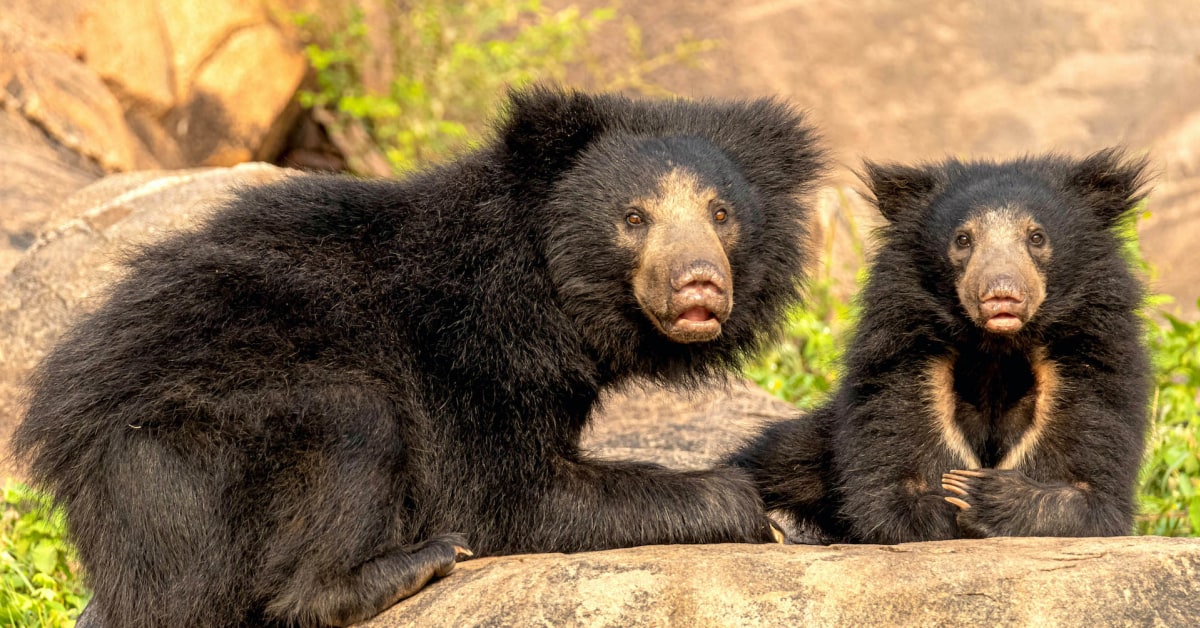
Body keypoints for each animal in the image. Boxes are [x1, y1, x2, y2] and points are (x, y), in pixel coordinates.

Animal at [11, 85, 825, 624]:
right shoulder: (475, 349)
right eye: (634, 218)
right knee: (352, 424)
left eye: (720, 214)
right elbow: (504, 496)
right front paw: (751, 510)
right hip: (199, 443)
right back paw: (410, 564)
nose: (700, 284)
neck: (546, 287)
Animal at [729, 148, 1152, 545]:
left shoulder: (1087, 362)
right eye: (963, 239)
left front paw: (982, 494)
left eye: (1037, 237)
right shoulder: (905, 361)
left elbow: (1091, 491)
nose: (1001, 294)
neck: (997, 348)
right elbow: (889, 490)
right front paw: (954, 495)